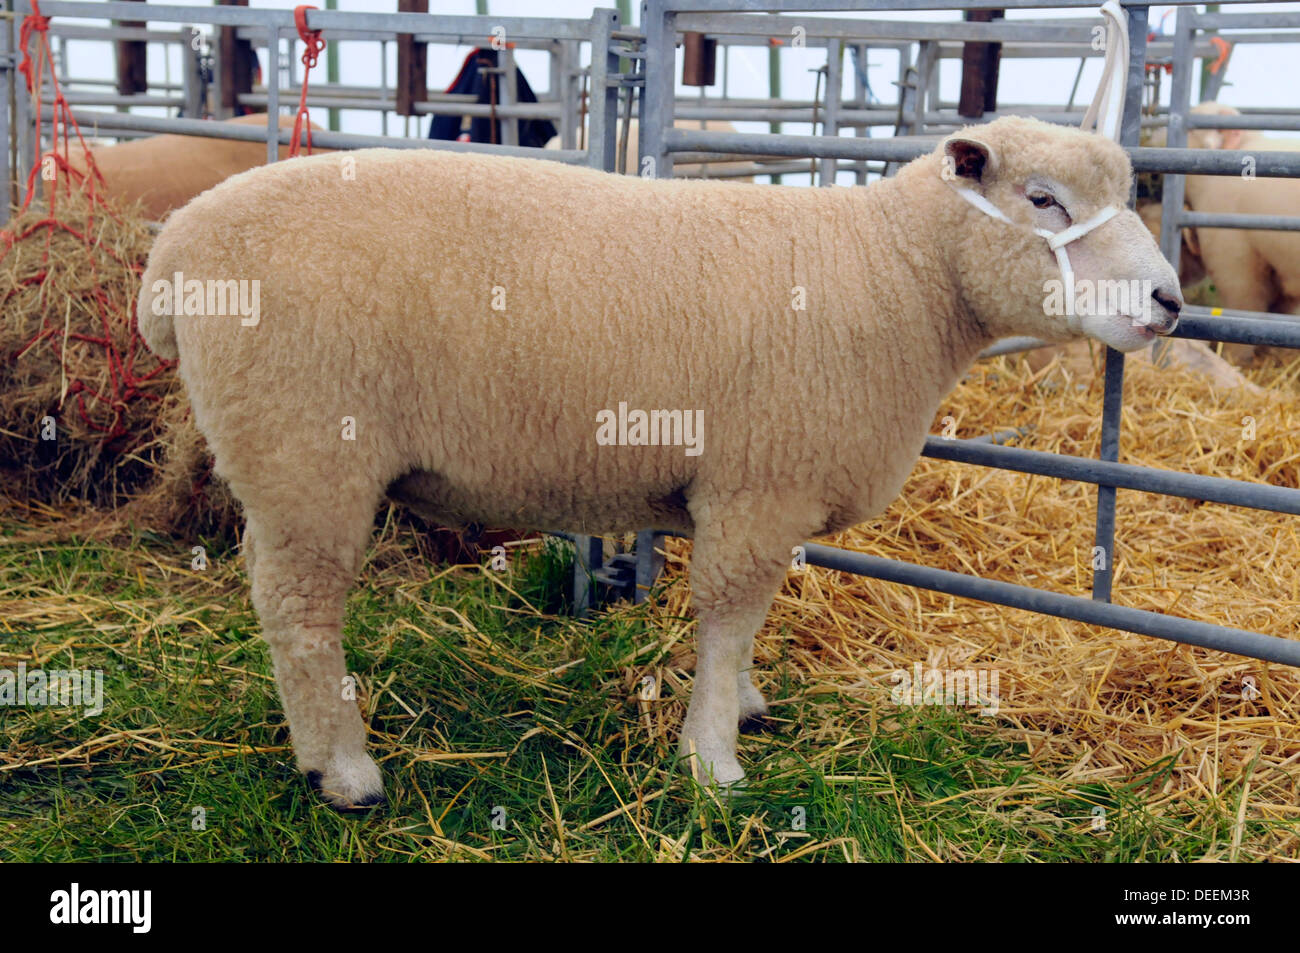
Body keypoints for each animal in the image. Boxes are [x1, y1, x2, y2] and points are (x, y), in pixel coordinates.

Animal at [138, 115, 1182, 808]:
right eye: (1042, 199)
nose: (1169, 301)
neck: (899, 274)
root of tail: (173, 253)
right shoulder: (759, 483)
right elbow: (727, 617)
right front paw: (713, 759)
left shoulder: (761, 492)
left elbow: (748, 621)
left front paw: (745, 706)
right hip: (308, 454)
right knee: (300, 612)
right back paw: (345, 771)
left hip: (287, 463)